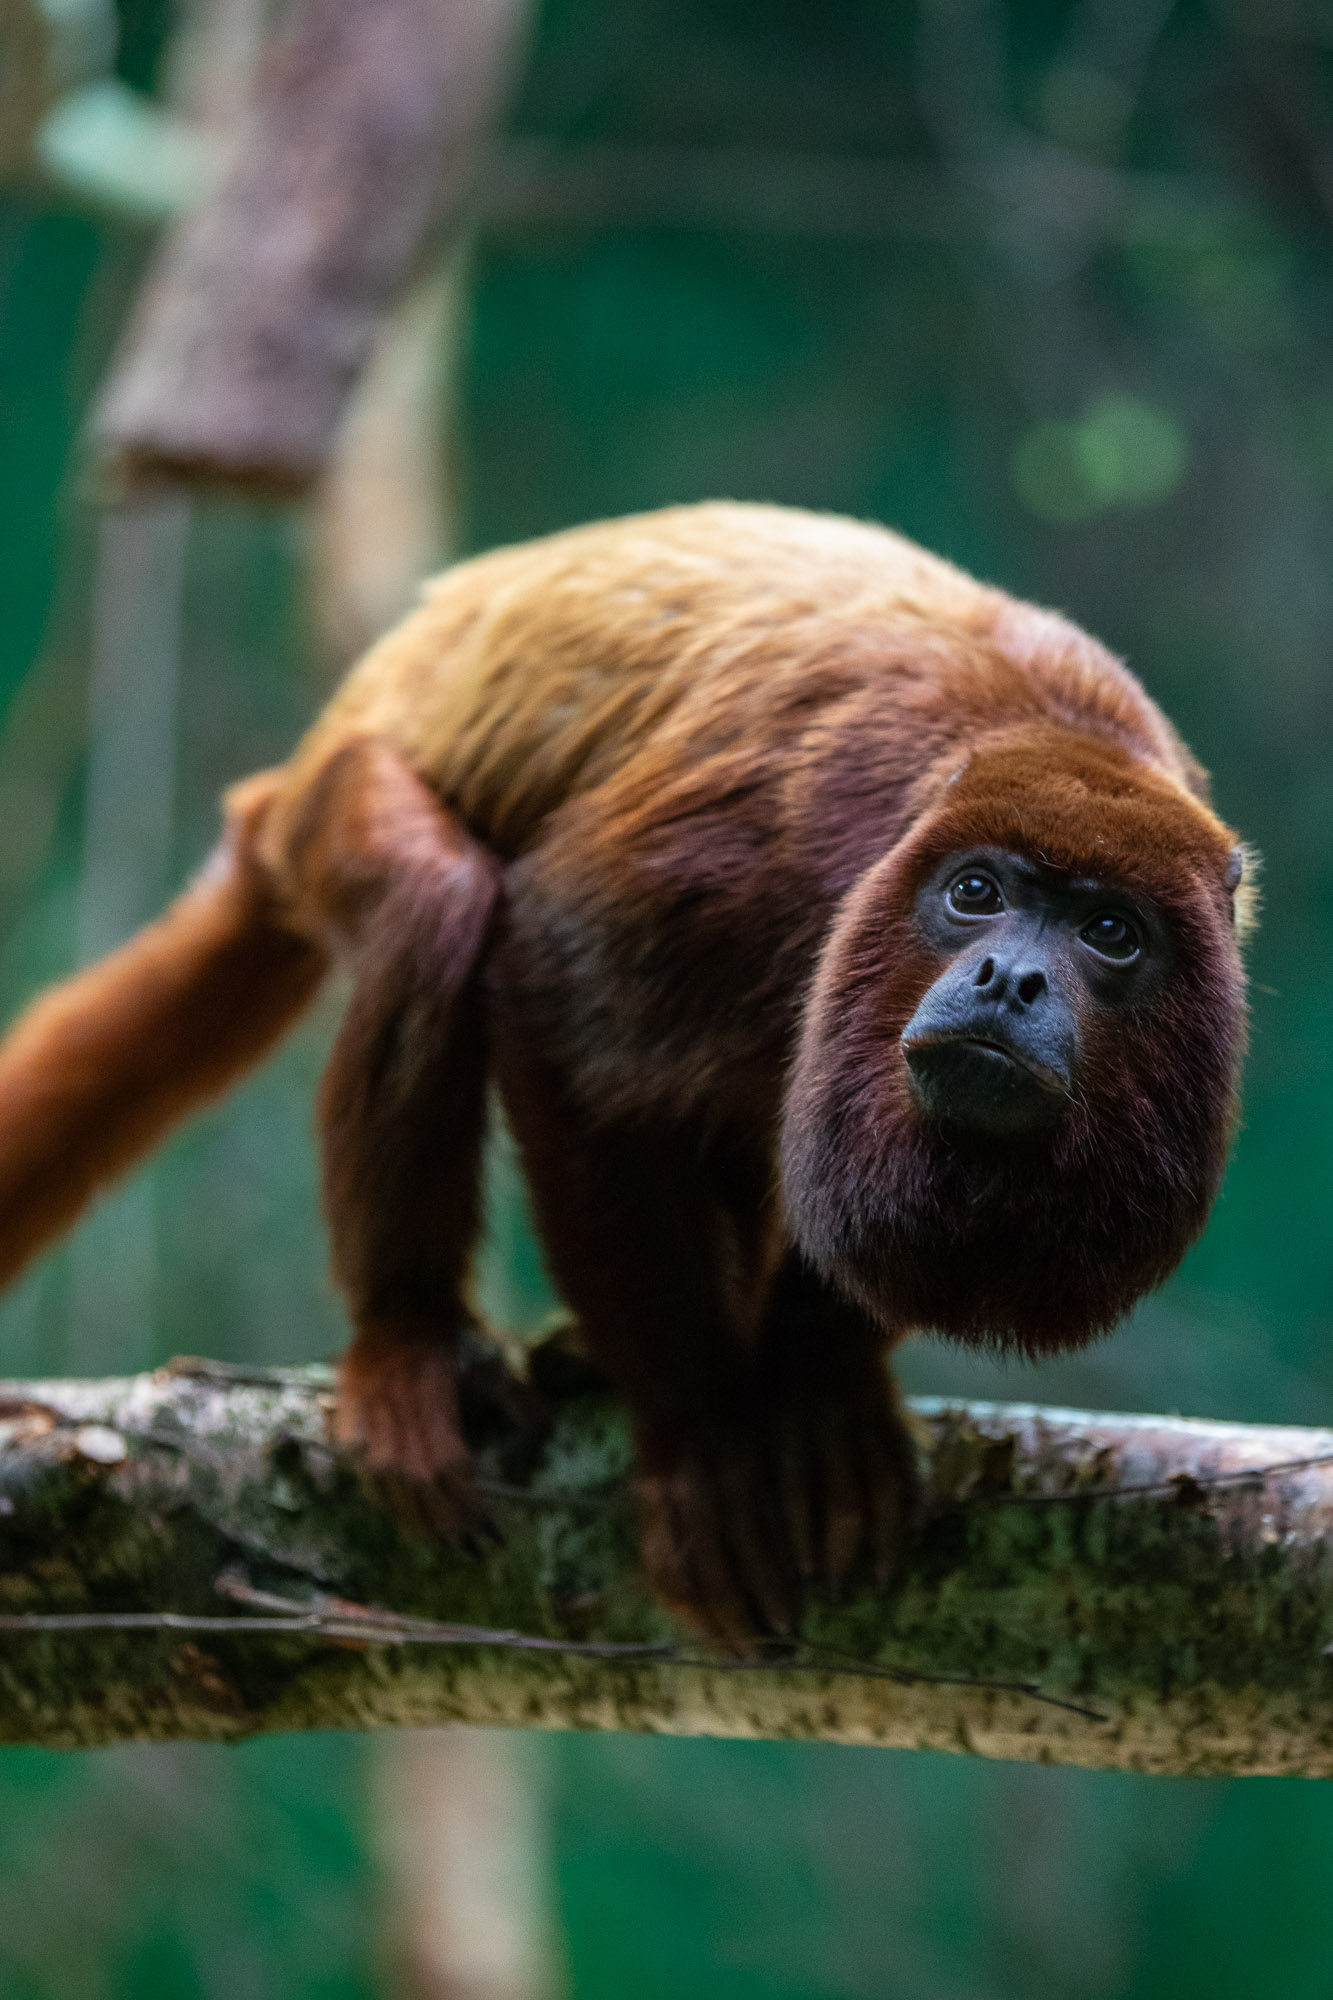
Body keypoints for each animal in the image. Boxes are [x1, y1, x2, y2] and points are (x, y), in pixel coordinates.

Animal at [0, 503, 1250, 1644]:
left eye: (1109, 931)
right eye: (976, 892)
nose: (1010, 977)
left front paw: (820, 1391)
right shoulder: (776, 852)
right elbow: (553, 988)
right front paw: (699, 1443)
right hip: (335, 809)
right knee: (429, 900)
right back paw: (408, 1337)